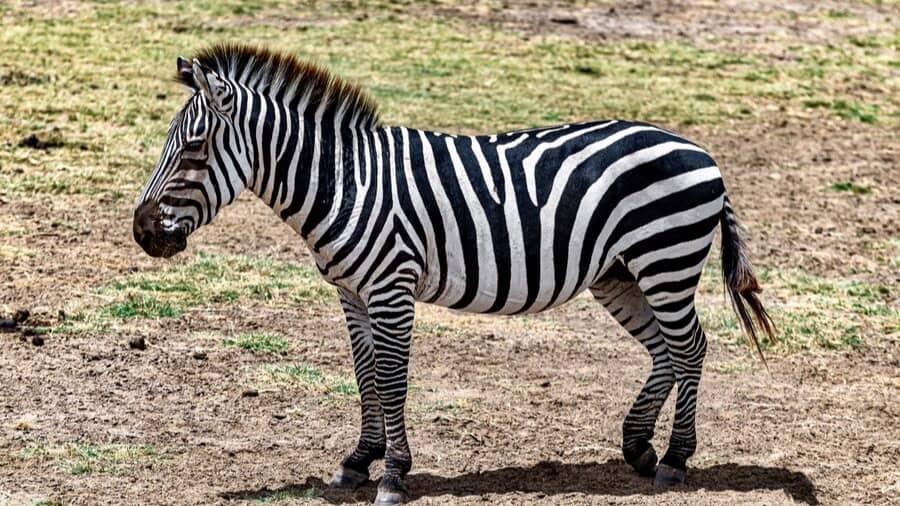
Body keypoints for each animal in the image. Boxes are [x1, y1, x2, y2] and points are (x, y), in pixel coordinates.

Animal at [133, 44, 775, 505]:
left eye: (193, 149)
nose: (141, 232)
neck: (344, 181)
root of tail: (700, 151)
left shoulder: (391, 286)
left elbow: (391, 379)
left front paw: (393, 475)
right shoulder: (352, 293)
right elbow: (364, 377)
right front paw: (357, 461)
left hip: (664, 259)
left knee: (690, 347)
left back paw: (674, 460)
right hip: (619, 273)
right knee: (665, 351)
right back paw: (639, 448)